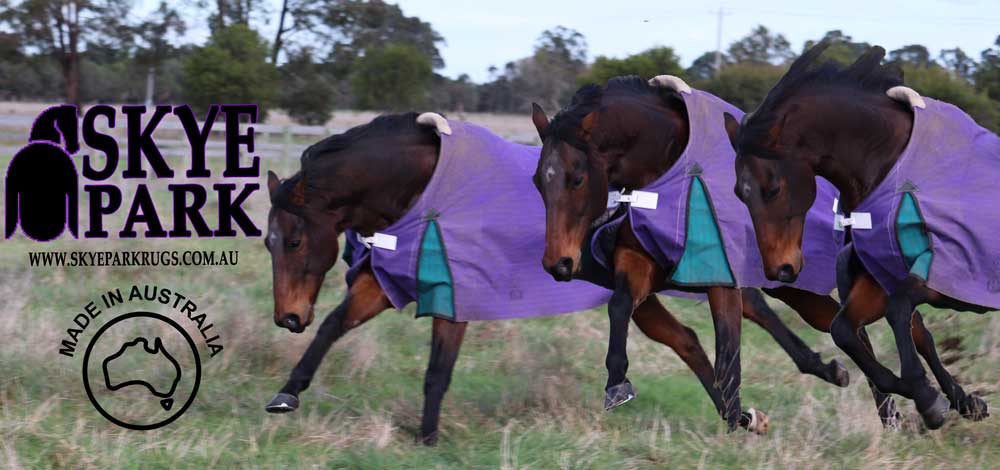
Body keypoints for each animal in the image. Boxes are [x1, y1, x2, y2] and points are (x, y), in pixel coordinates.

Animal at [263, 112, 851, 442]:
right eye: (267, 242)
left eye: (292, 241)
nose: (287, 317)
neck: (431, 192)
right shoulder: (384, 284)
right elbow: (334, 327)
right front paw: (287, 394)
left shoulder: (455, 297)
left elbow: (436, 371)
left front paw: (427, 439)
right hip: (654, 288)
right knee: (693, 335)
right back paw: (742, 413)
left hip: (683, 276)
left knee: (762, 307)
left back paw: (815, 376)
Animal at [529, 75, 877, 432]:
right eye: (538, 181)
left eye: (577, 179)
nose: (558, 262)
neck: (674, 171)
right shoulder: (637, 261)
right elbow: (620, 305)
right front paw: (616, 383)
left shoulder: (721, 278)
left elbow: (728, 348)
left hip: (797, 282)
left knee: (847, 327)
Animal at [727, 43, 993, 429]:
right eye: (739, 192)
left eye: (772, 188)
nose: (779, 269)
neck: (893, 169)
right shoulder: (875, 275)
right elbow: (845, 329)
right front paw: (929, 397)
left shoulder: (946, 272)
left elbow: (899, 310)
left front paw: (926, 396)